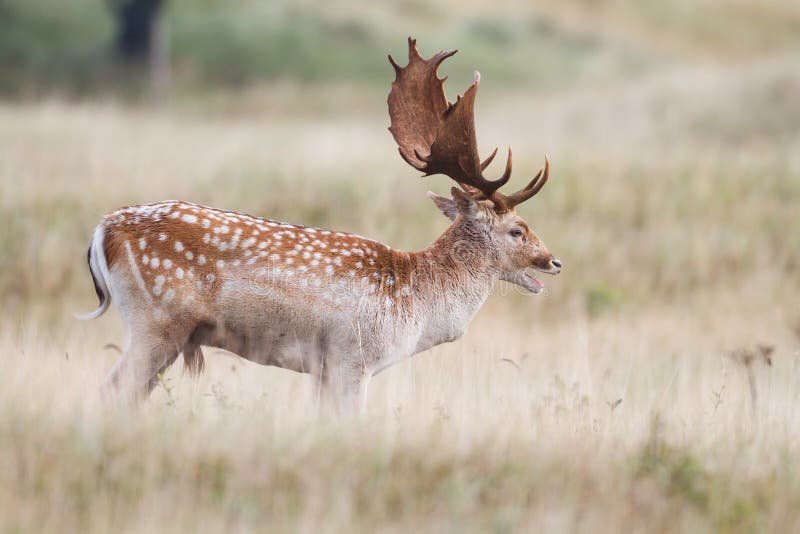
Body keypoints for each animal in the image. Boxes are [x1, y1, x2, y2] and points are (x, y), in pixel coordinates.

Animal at [80, 38, 562, 414]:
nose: (554, 261)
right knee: (111, 392)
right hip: (158, 321)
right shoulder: (353, 356)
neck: (417, 301)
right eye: (517, 229)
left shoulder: (323, 369)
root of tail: (103, 231)